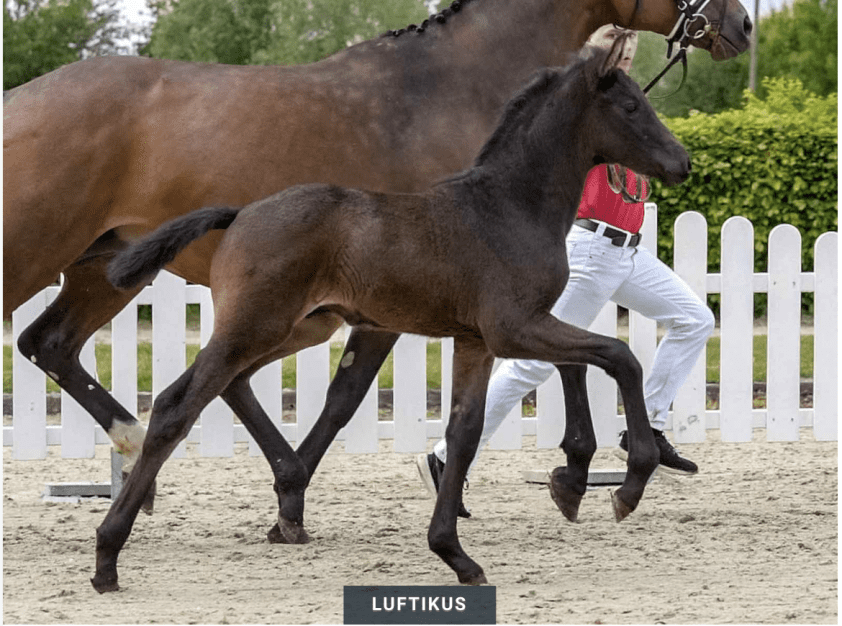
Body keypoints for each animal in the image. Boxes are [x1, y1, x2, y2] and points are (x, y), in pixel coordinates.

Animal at [4, 0, 750, 522]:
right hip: (44, 259)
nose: (741, 24)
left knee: (53, 342)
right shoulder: (417, 308)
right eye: (630, 105)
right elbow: (347, 398)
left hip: (113, 272)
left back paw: (134, 455)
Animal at [95, 36, 691, 590]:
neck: (509, 207)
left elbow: (466, 429)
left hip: (287, 329)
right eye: (631, 106)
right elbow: (618, 356)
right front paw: (629, 481)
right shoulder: (514, 326)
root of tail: (240, 213)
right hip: (255, 327)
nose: (681, 162)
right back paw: (107, 556)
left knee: (205, 391)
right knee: (176, 409)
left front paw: (457, 553)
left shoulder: (479, 340)